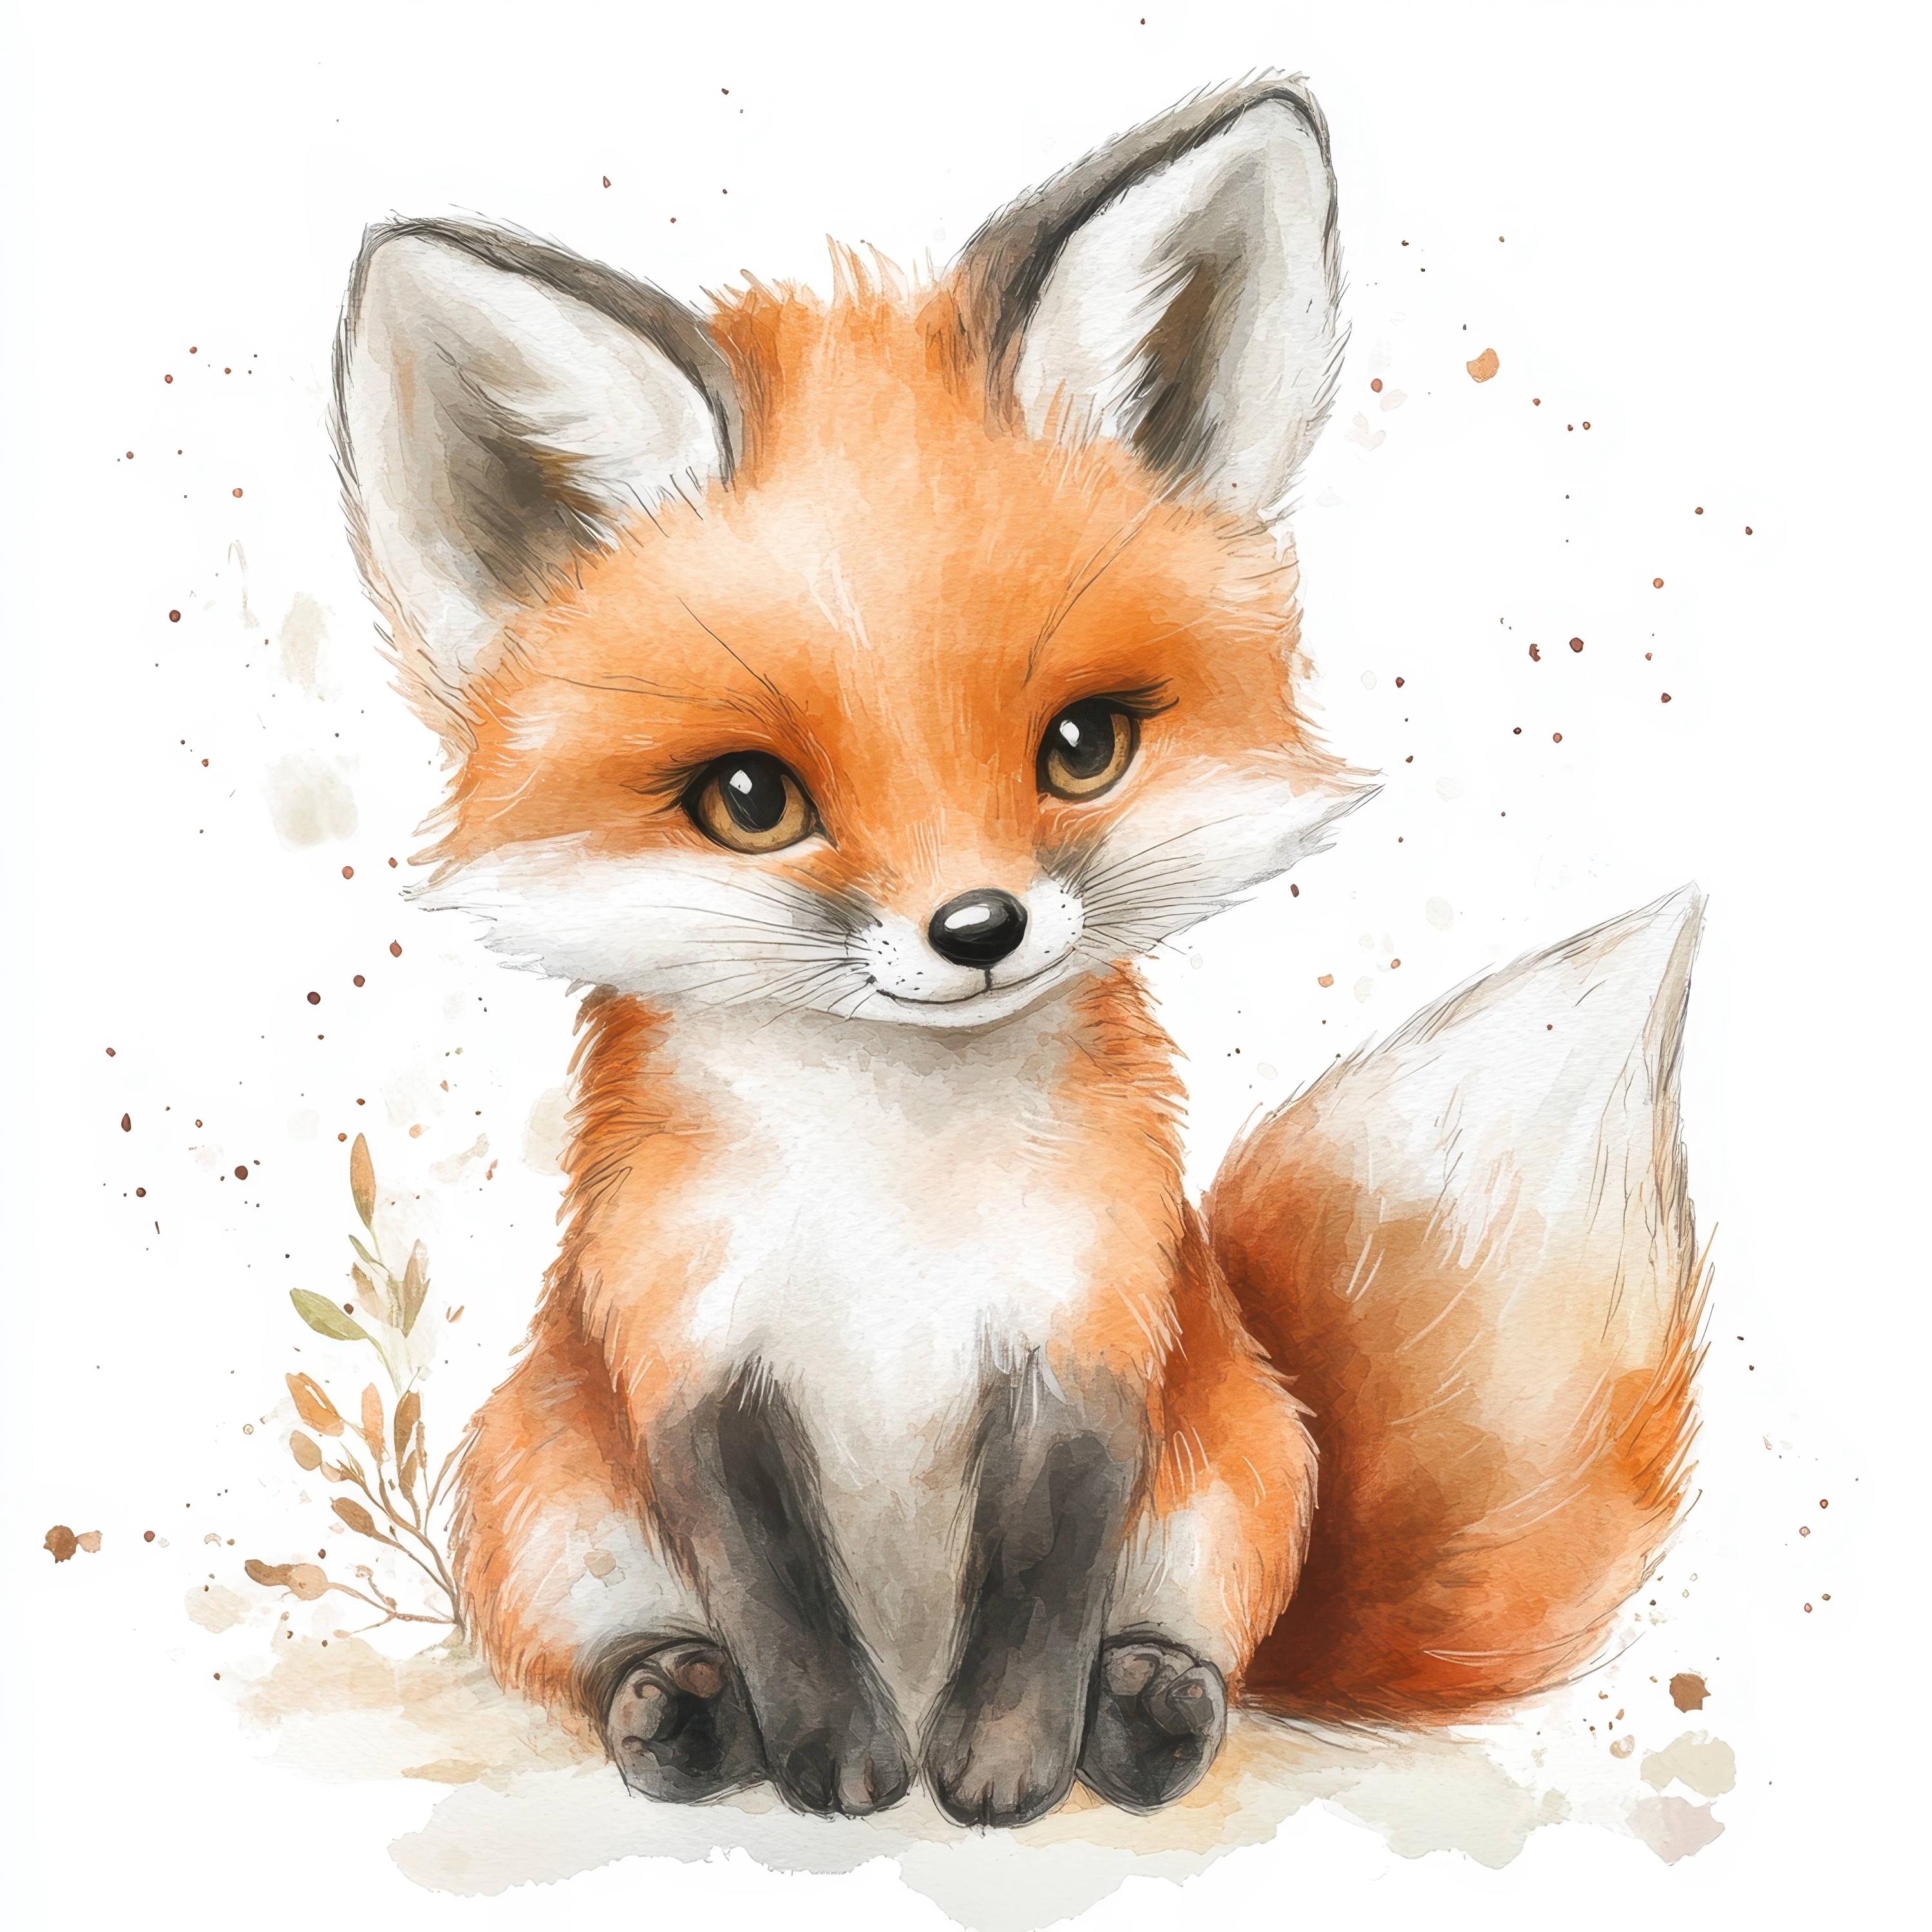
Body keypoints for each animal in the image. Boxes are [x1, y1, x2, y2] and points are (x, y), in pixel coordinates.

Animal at [331, 75, 1705, 1826]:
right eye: (749, 799)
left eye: (1082, 745)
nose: (976, 928)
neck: (896, 1196)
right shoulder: (691, 1350)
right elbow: (774, 1588)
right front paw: (841, 1764)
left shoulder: (1085, 1337)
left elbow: (1042, 1584)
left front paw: (998, 1769)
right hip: (542, 1502)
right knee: (611, 1646)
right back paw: (682, 1711)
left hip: (1236, 1475)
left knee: (1193, 1643)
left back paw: (1149, 1718)